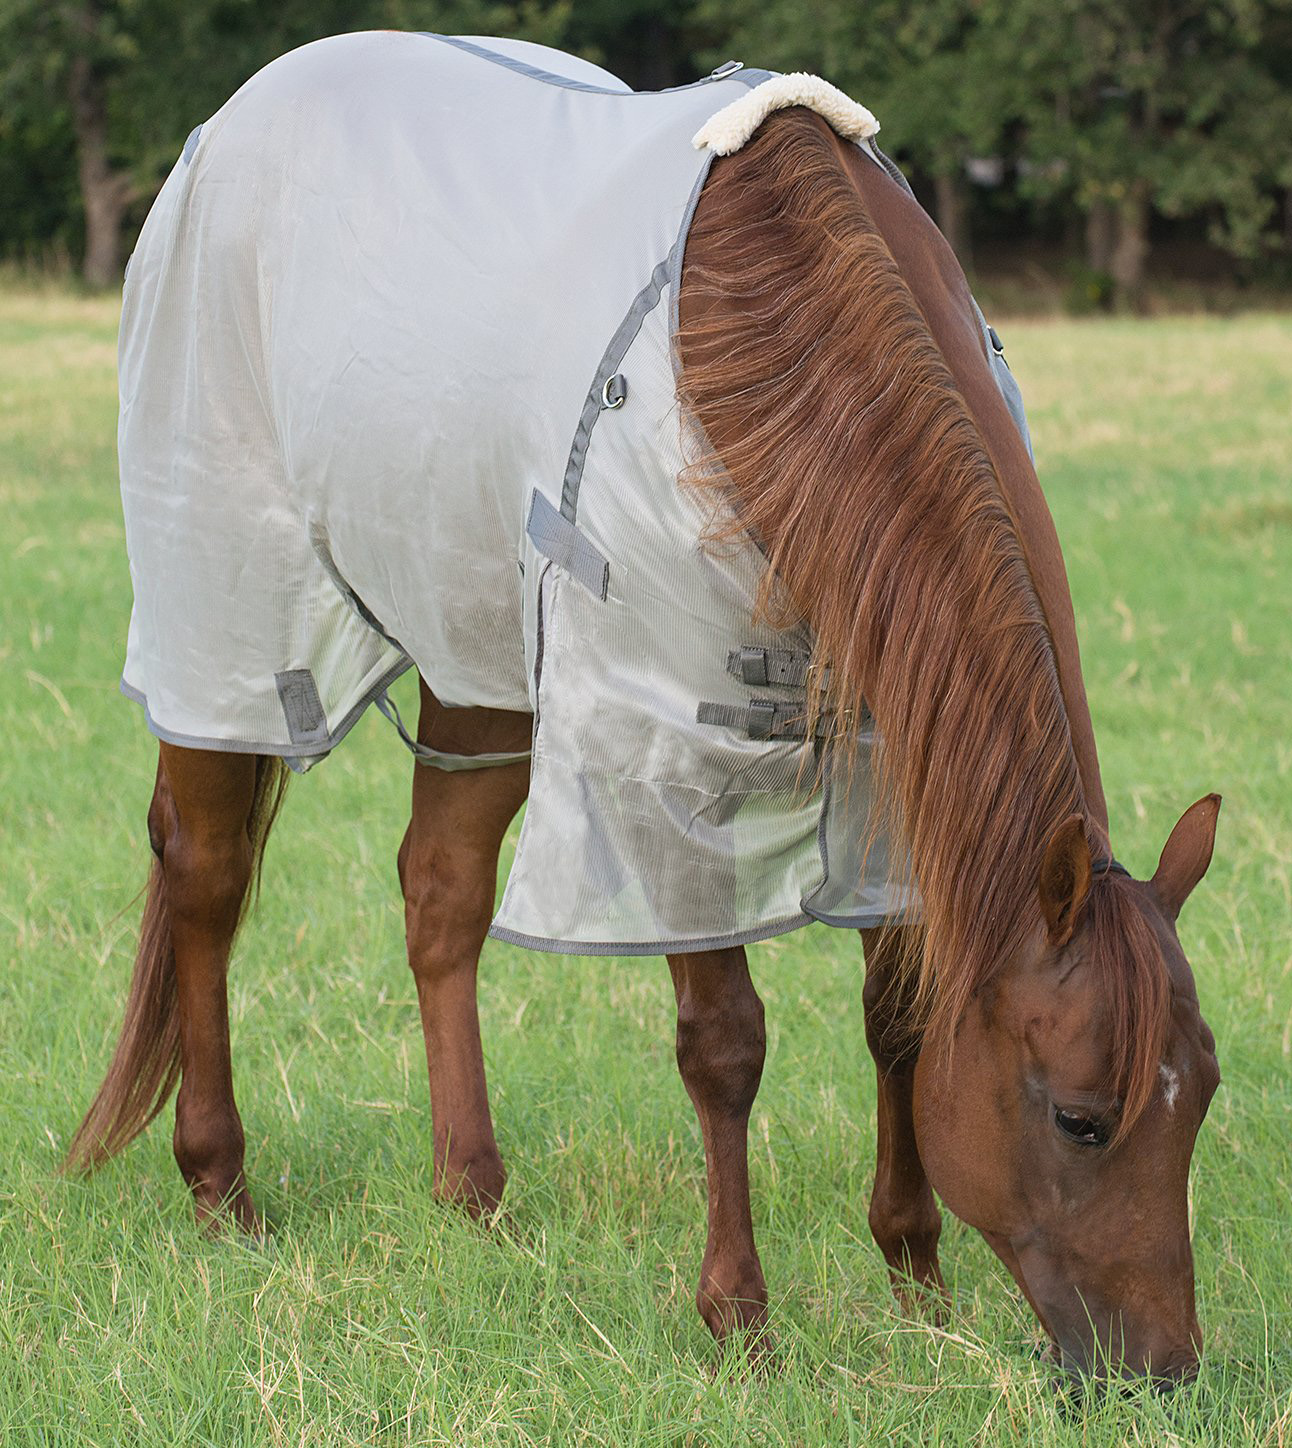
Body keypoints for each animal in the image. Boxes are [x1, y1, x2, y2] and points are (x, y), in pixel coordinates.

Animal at [65, 33, 1221, 1385]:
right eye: (1081, 1119)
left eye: (1200, 1094)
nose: (1164, 1366)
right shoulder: (662, 761)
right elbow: (723, 1042)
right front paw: (739, 1312)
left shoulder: (887, 756)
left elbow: (897, 1014)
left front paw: (913, 1275)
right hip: (231, 612)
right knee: (203, 875)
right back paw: (220, 1184)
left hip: (480, 647)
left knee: (439, 887)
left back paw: (471, 1188)